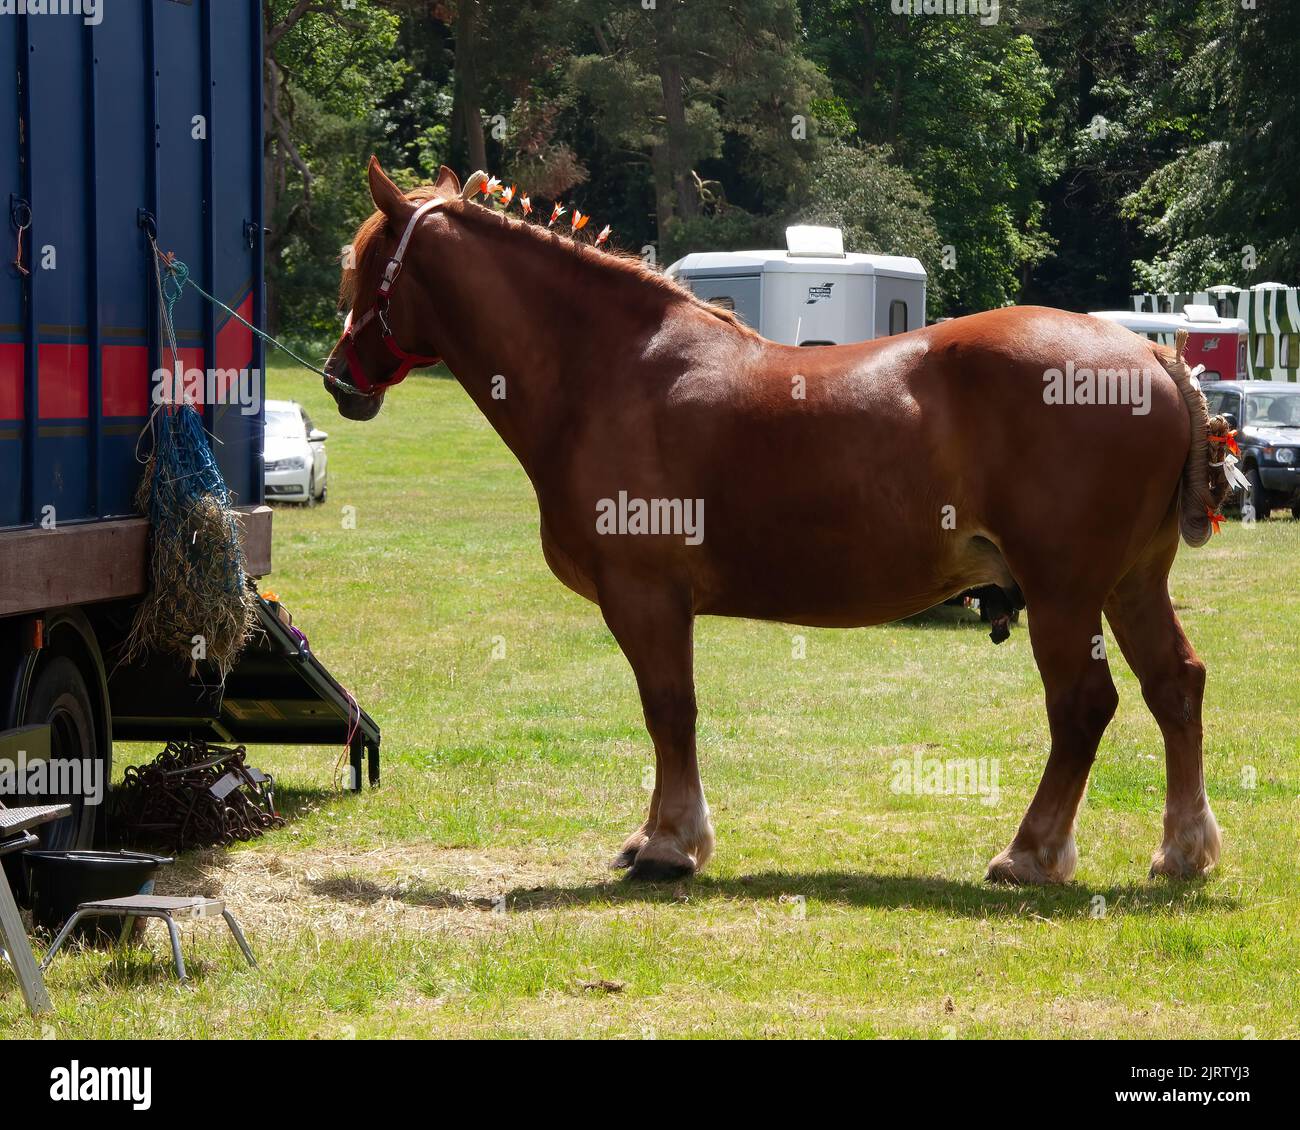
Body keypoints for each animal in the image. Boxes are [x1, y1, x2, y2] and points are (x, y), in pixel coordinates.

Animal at [323, 158, 1233, 885]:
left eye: (364, 267)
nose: (338, 379)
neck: (609, 370)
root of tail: (1151, 354)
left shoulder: (645, 594)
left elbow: (669, 708)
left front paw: (670, 844)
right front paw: (660, 837)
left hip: (1064, 591)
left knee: (1083, 706)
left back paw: (1032, 854)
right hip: (1129, 582)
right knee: (1176, 685)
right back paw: (1182, 850)